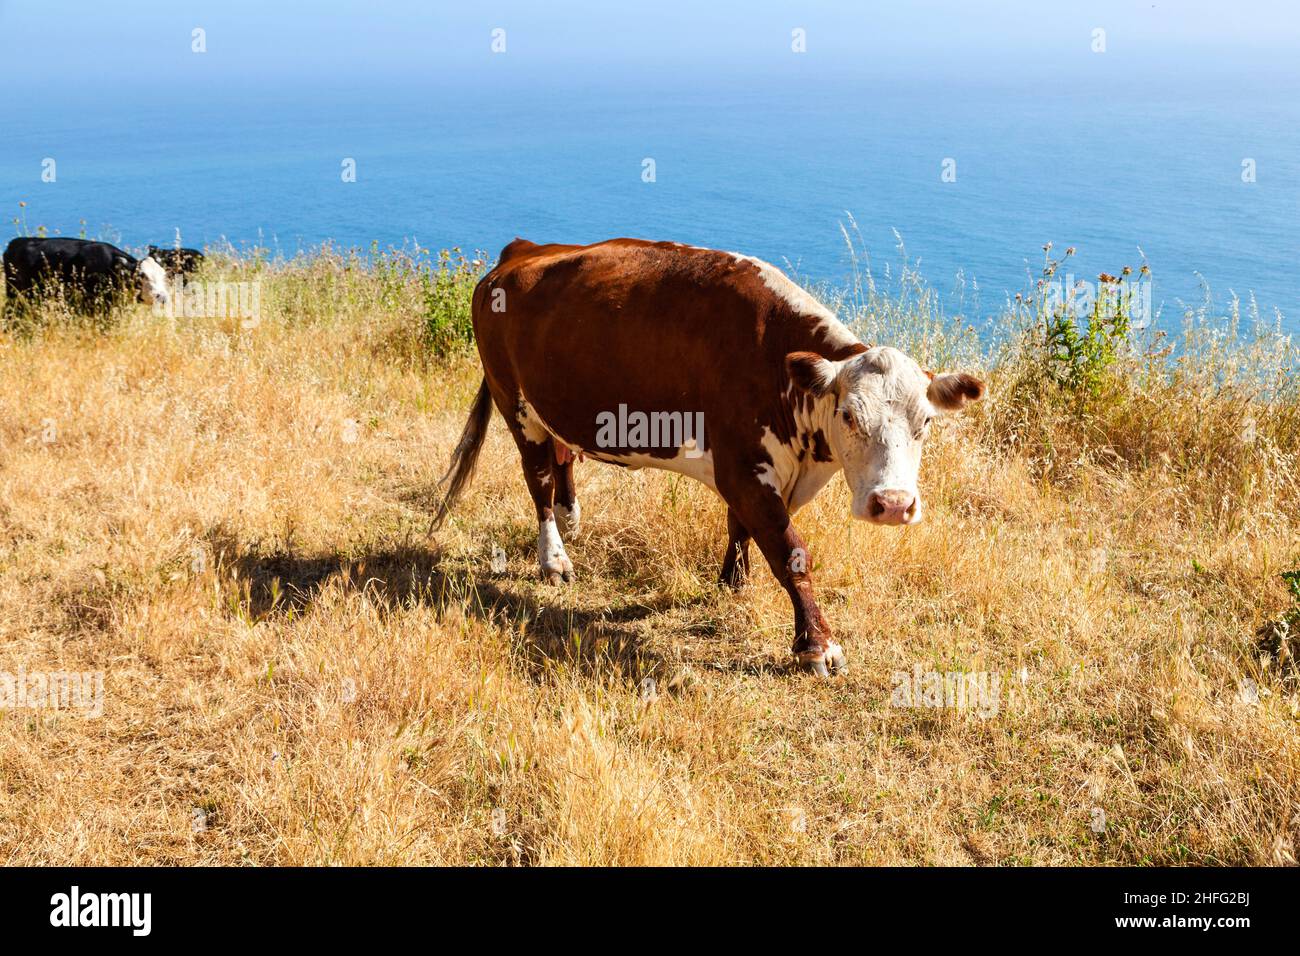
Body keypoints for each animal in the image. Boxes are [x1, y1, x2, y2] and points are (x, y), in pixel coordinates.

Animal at [433, 238, 984, 676]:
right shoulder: (743, 469)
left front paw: (733, 583)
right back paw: (554, 559)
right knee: (539, 479)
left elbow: (741, 527)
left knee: (562, 459)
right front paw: (817, 645)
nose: (892, 504)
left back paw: (572, 521)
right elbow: (790, 551)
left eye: (925, 422)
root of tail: (520, 251)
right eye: (848, 415)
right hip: (514, 401)